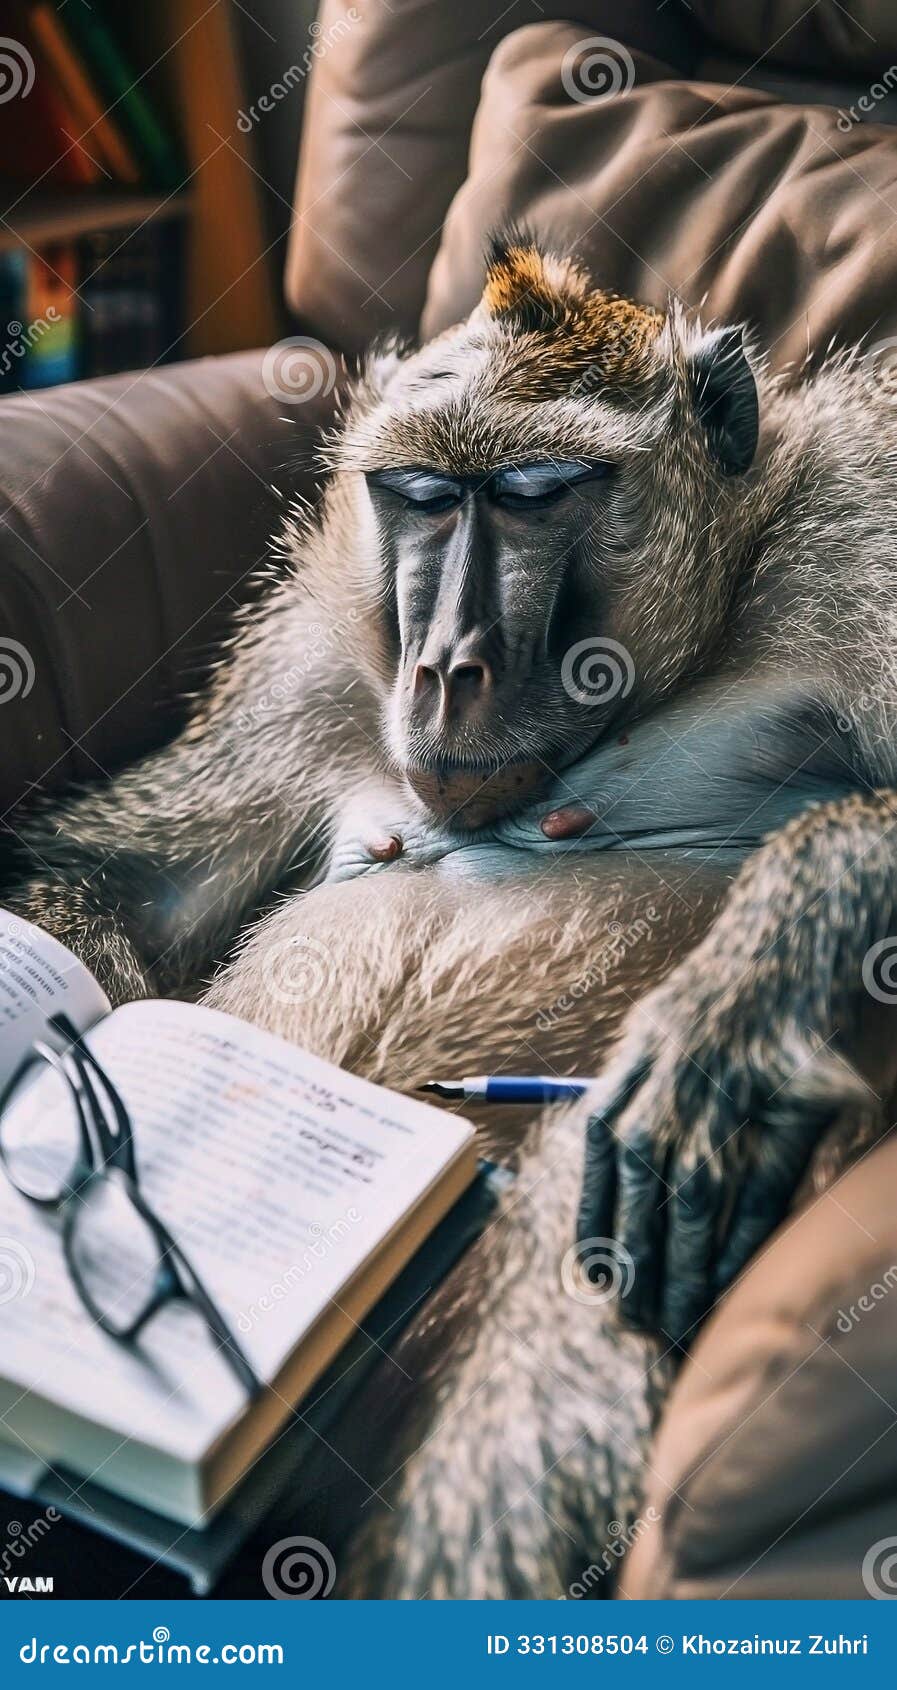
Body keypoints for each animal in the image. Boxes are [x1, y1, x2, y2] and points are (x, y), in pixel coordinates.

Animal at [4, 233, 897, 1597]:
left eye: (534, 494)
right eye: (422, 496)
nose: (443, 669)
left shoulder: (857, 529)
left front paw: (739, 1003)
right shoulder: (312, 655)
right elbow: (126, 879)